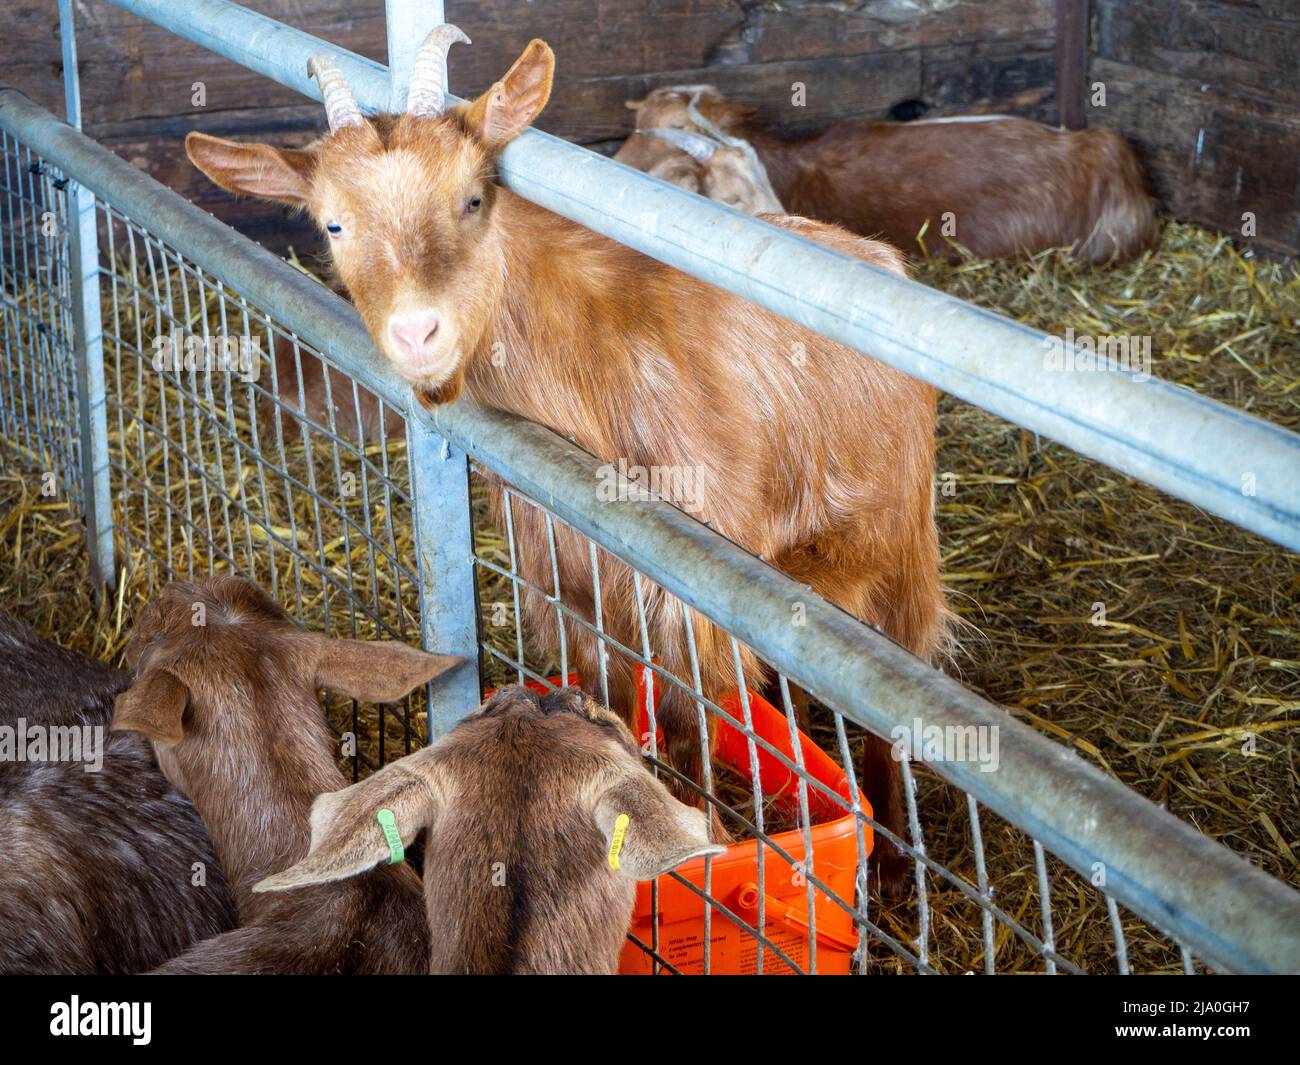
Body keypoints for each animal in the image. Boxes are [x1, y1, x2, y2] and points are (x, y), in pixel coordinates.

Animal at [183, 29, 950, 892]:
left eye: (472, 199)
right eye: (333, 225)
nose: (419, 333)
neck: (589, 374)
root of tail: (877, 258)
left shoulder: (695, 594)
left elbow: (687, 721)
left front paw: (705, 840)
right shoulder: (571, 584)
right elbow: (609, 699)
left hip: (898, 545)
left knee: (893, 710)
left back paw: (893, 863)